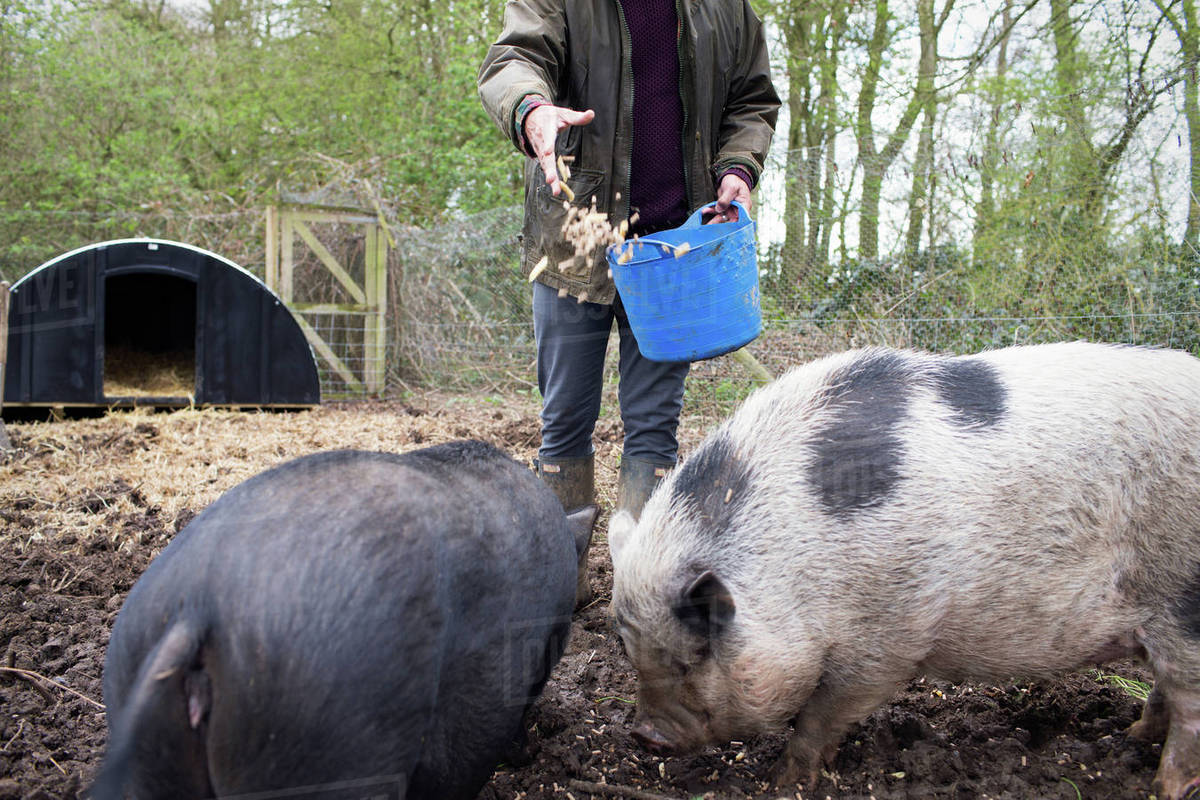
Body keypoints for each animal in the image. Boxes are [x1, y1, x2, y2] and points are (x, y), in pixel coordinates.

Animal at [608, 342, 1200, 800]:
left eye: (694, 655)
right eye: (628, 650)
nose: (645, 735)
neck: (793, 562)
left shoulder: (889, 637)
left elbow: (821, 715)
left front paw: (783, 782)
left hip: (1183, 594)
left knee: (1188, 699)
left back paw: (1163, 785)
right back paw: (1131, 737)